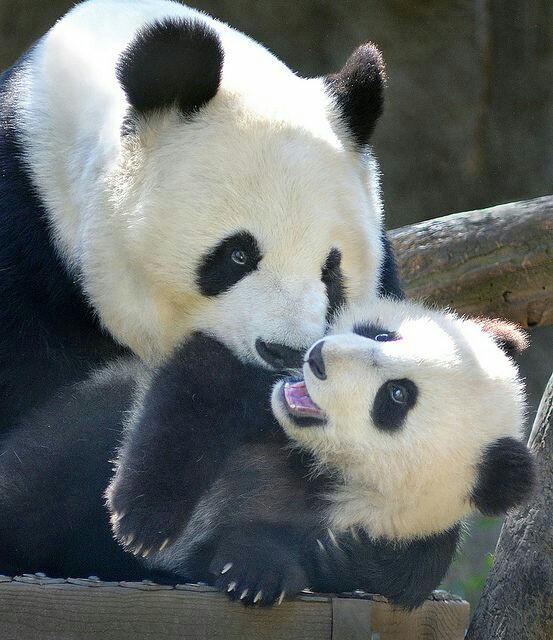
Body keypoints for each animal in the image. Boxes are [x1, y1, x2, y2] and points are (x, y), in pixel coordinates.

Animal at [105, 297, 535, 607]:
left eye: (397, 395)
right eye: (384, 336)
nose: (318, 357)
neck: (319, 465)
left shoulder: (412, 529)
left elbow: (403, 574)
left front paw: (277, 566)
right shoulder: (258, 390)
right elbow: (202, 383)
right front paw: (145, 519)